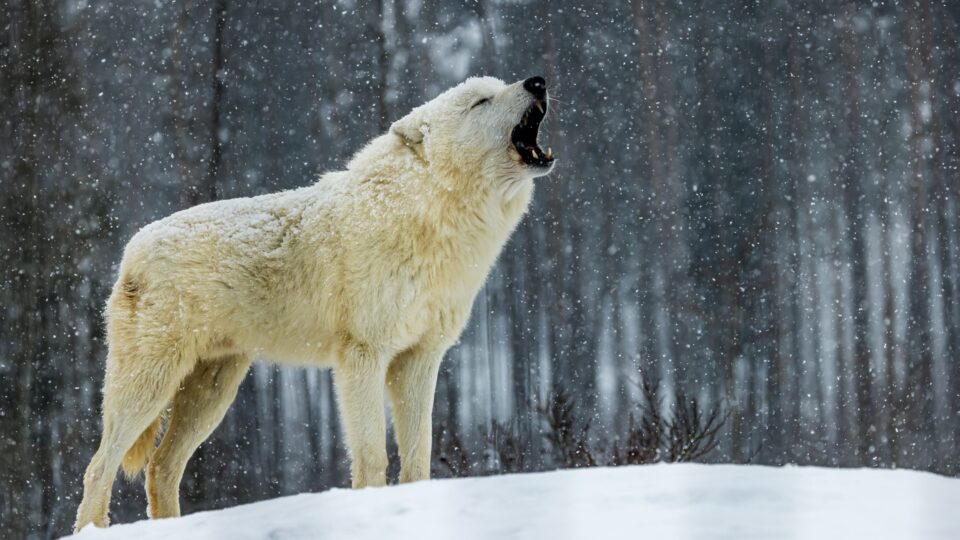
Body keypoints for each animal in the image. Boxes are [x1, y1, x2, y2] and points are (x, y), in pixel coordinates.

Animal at [74, 75, 555, 531]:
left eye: (500, 86)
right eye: (481, 102)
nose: (537, 81)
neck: (427, 216)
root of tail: (130, 250)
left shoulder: (419, 359)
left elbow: (418, 457)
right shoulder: (362, 356)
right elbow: (372, 456)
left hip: (212, 392)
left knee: (160, 466)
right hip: (150, 387)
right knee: (99, 466)